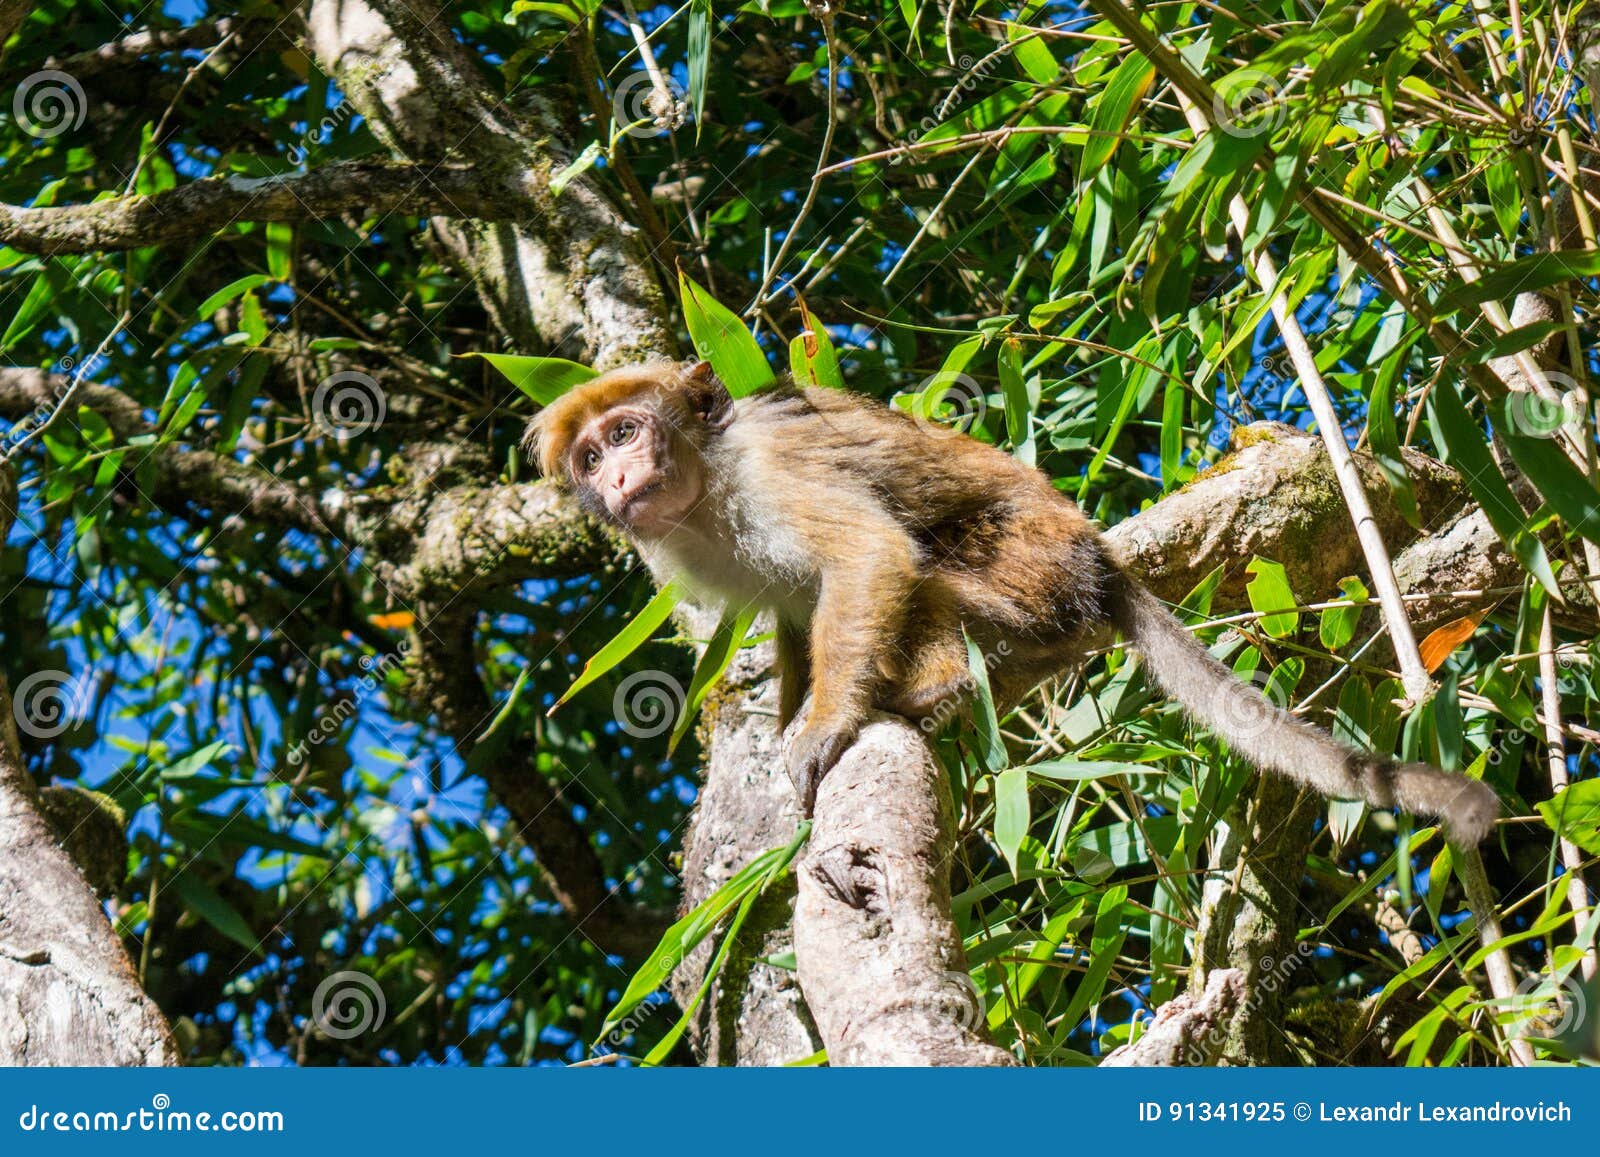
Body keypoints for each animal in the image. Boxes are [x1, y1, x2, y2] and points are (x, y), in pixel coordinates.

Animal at [528, 359, 1500, 846]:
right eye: (590, 457)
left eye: (627, 431)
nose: (616, 479)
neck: (705, 491)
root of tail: (1097, 556)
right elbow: (800, 618)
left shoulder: (772, 469)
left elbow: (870, 556)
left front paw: (825, 727)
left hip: (1035, 568)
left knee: (931, 566)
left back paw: (932, 686)